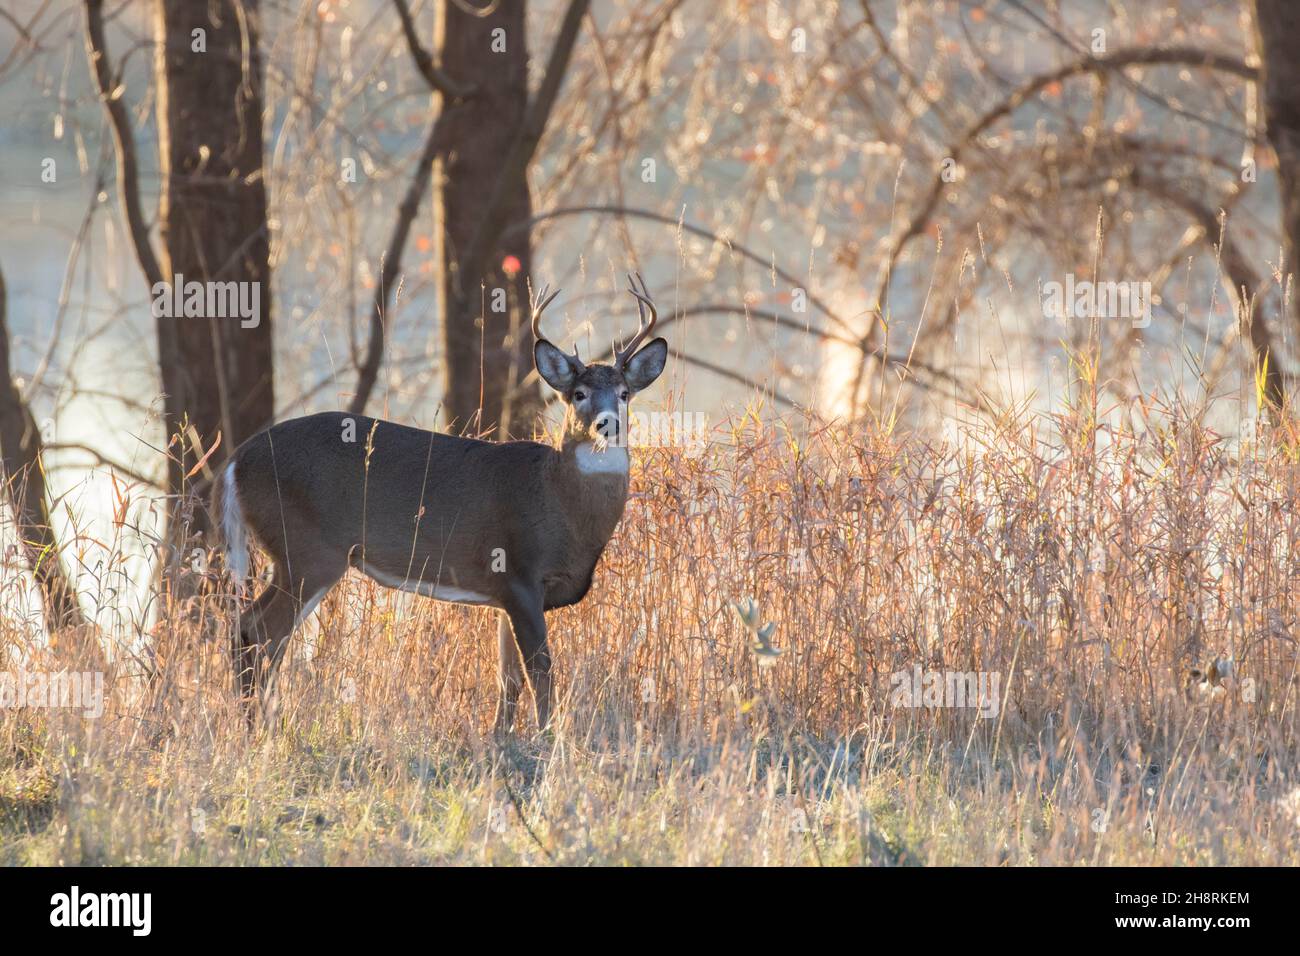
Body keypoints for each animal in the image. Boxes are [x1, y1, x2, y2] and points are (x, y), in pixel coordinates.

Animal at [211, 275, 667, 733]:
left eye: (625, 393)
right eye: (578, 393)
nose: (608, 423)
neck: (559, 500)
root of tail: (236, 461)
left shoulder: (505, 594)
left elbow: (508, 678)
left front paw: (502, 738)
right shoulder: (519, 573)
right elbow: (541, 672)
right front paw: (546, 737)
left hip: (291, 555)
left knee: (248, 629)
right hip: (308, 549)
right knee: (260, 631)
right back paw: (261, 729)